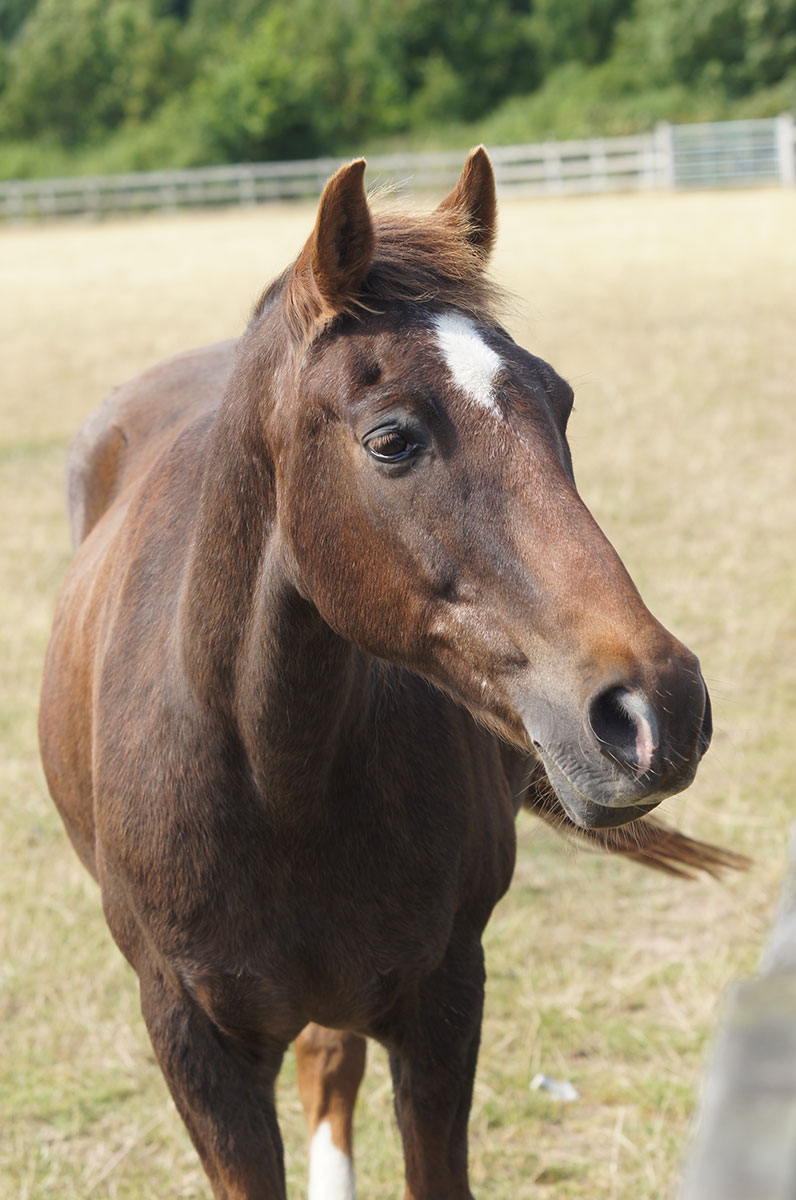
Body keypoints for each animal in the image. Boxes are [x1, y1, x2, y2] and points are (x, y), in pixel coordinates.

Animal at [39, 148, 742, 1199]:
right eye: (392, 439)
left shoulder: (445, 1001)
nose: (658, 712)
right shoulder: (192, 1044)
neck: (272, 780)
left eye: (561, 403)